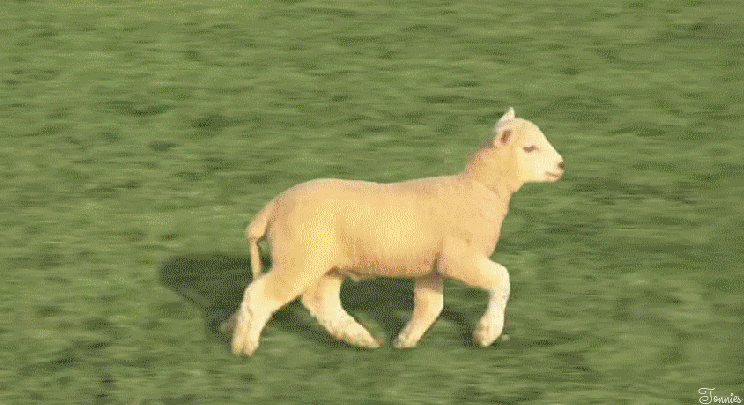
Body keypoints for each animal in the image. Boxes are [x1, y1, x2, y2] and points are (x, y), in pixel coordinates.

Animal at [227, 108, 564, 356]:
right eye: (529, 148)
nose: (561, 165)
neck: (477, 190)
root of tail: (270, 209)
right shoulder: (458, 258)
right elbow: (501, 279)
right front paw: (486, 333)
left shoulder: (432, 266)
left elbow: (430, 306)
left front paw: (405, 340)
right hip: (299, 258)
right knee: (260, 295)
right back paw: (243, 347)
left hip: (325, 264)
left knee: (321, 302)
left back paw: (359, 338)